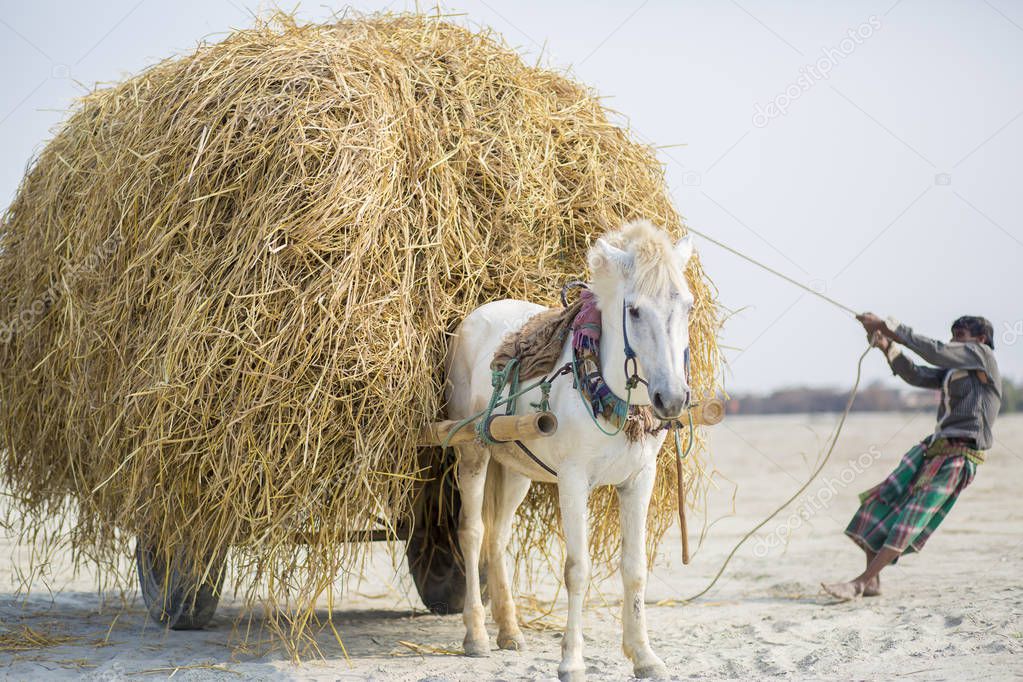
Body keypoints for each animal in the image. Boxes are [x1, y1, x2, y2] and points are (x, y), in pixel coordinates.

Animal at [444, 219, 696, 681]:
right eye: (634, 310)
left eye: (686, 306)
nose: (671, 399)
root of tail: (475, 317)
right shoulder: (574, 481)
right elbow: (577, 569)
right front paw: (572, 660)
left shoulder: (639, 479)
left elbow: (634, 570)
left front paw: (643, 655)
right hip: (472, 453)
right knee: (472, 534)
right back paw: (477, 636)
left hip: (516, 469)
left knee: (497, 537)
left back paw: (510, 631)